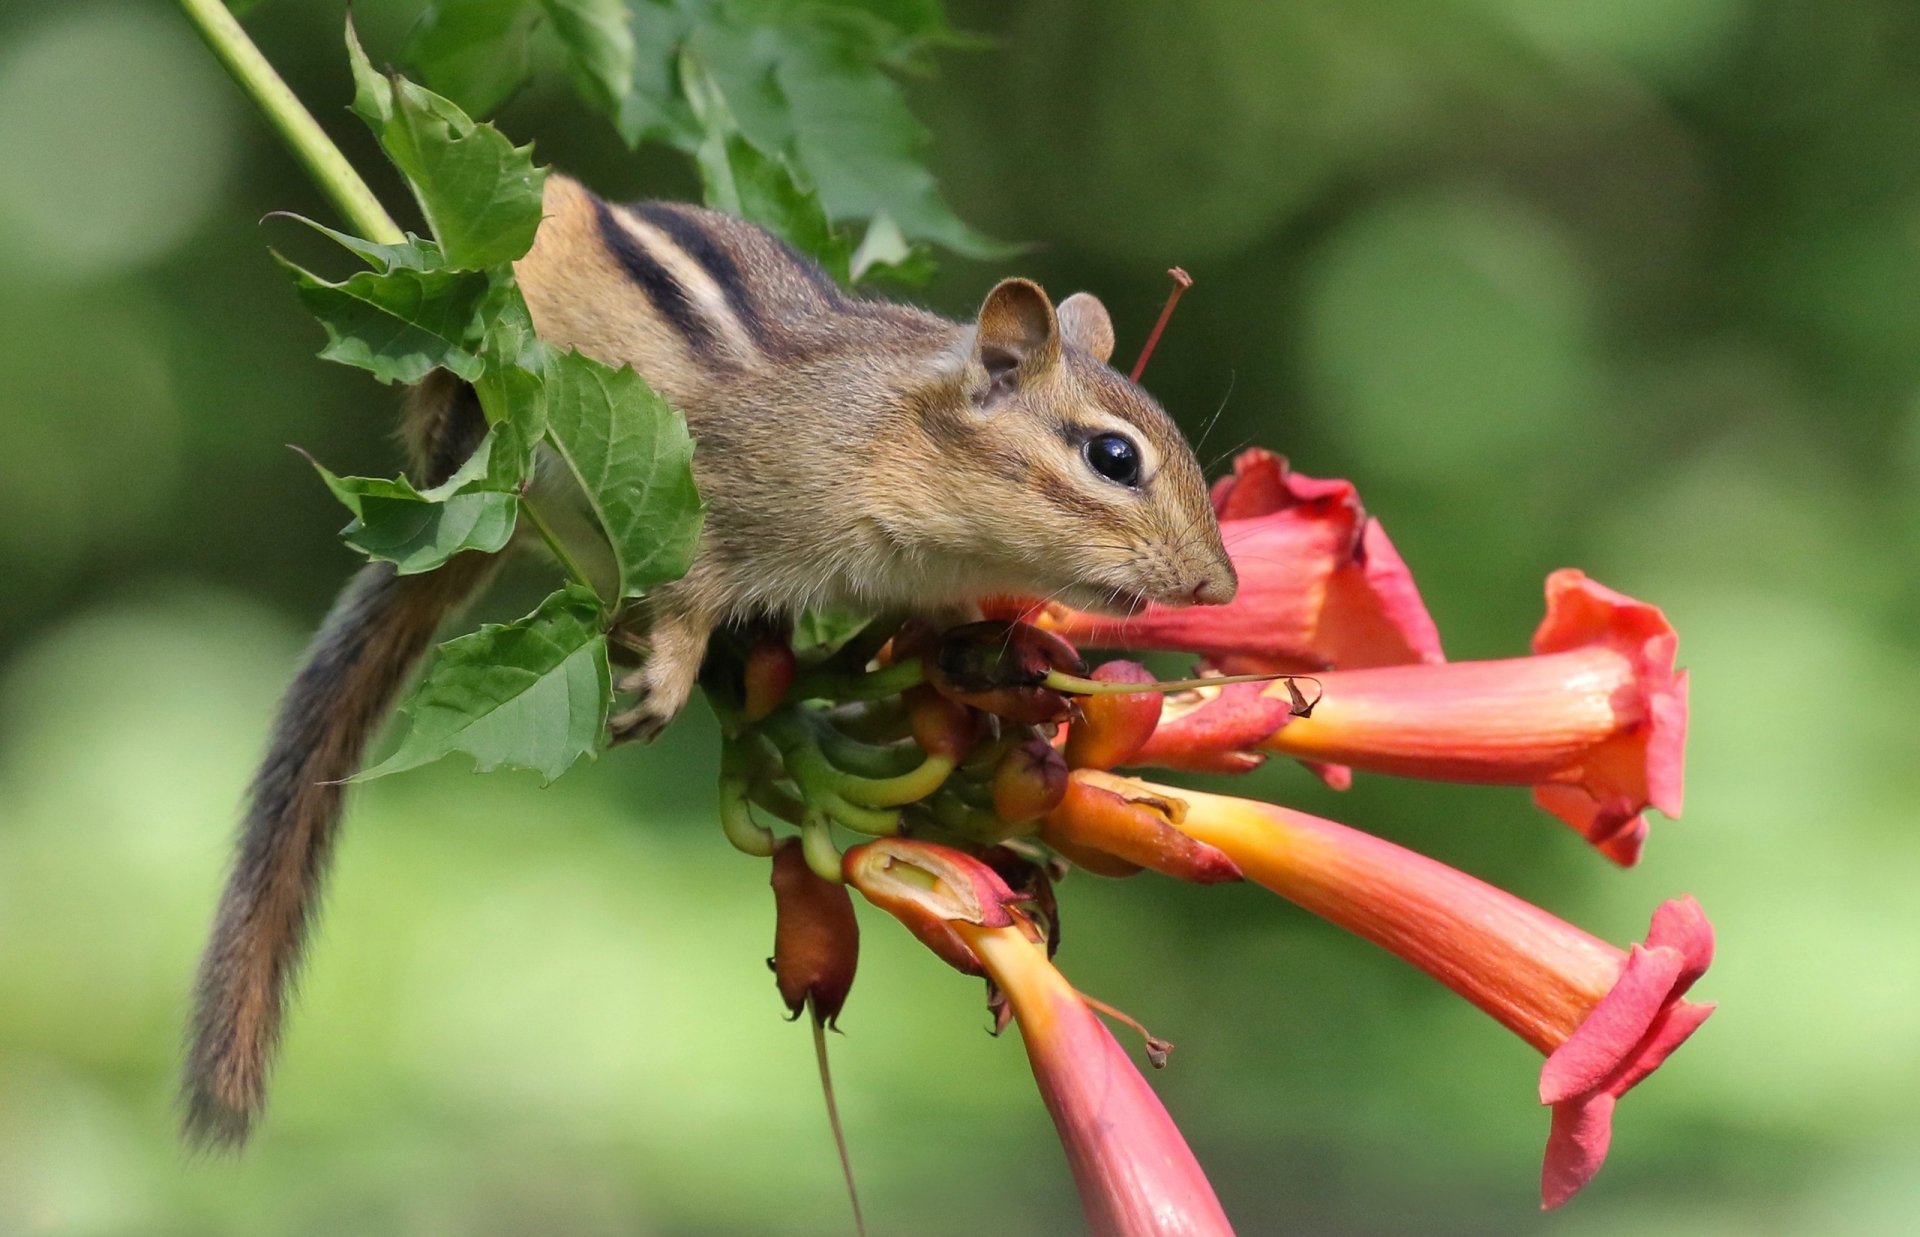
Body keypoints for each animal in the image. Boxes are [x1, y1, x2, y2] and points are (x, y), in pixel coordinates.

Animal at [183, 173, 1238, 1147]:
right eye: (1113, 457)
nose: (1221, 585)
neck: (898, 439)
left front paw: (986, 653)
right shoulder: (720, 497)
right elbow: (692, 592)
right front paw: (672, 673)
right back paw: (462, 418)